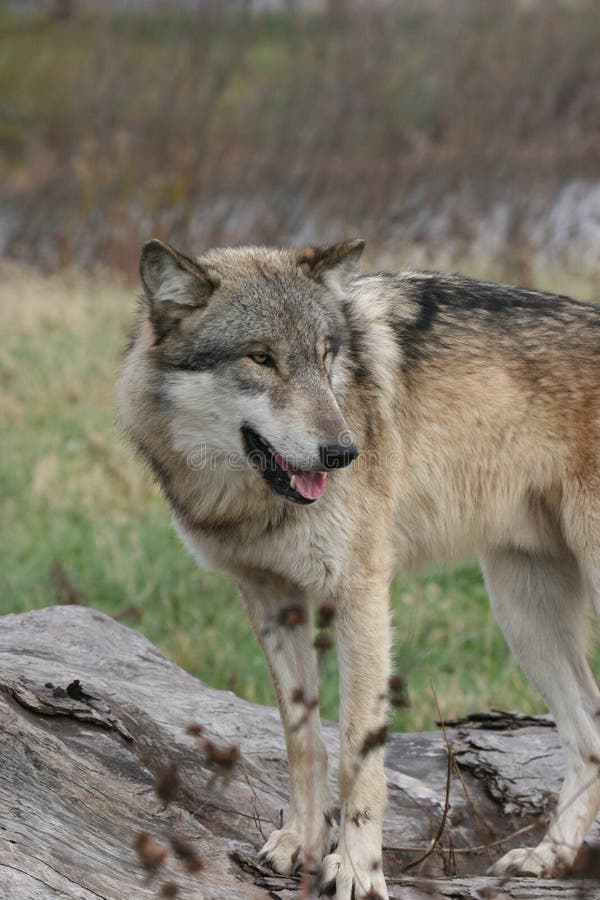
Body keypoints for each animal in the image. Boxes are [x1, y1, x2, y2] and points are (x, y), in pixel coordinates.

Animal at [119, 237, 600, 897]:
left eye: (326, 358)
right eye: (262, 358)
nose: (343, 453)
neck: (248, 502)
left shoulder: (361, 594)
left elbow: (356, 754)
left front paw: (356, 868)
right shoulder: (270, 598)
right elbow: (303, 742)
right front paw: (302, 843)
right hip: (522, 613)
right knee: (588, 733)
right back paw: (547, 857)